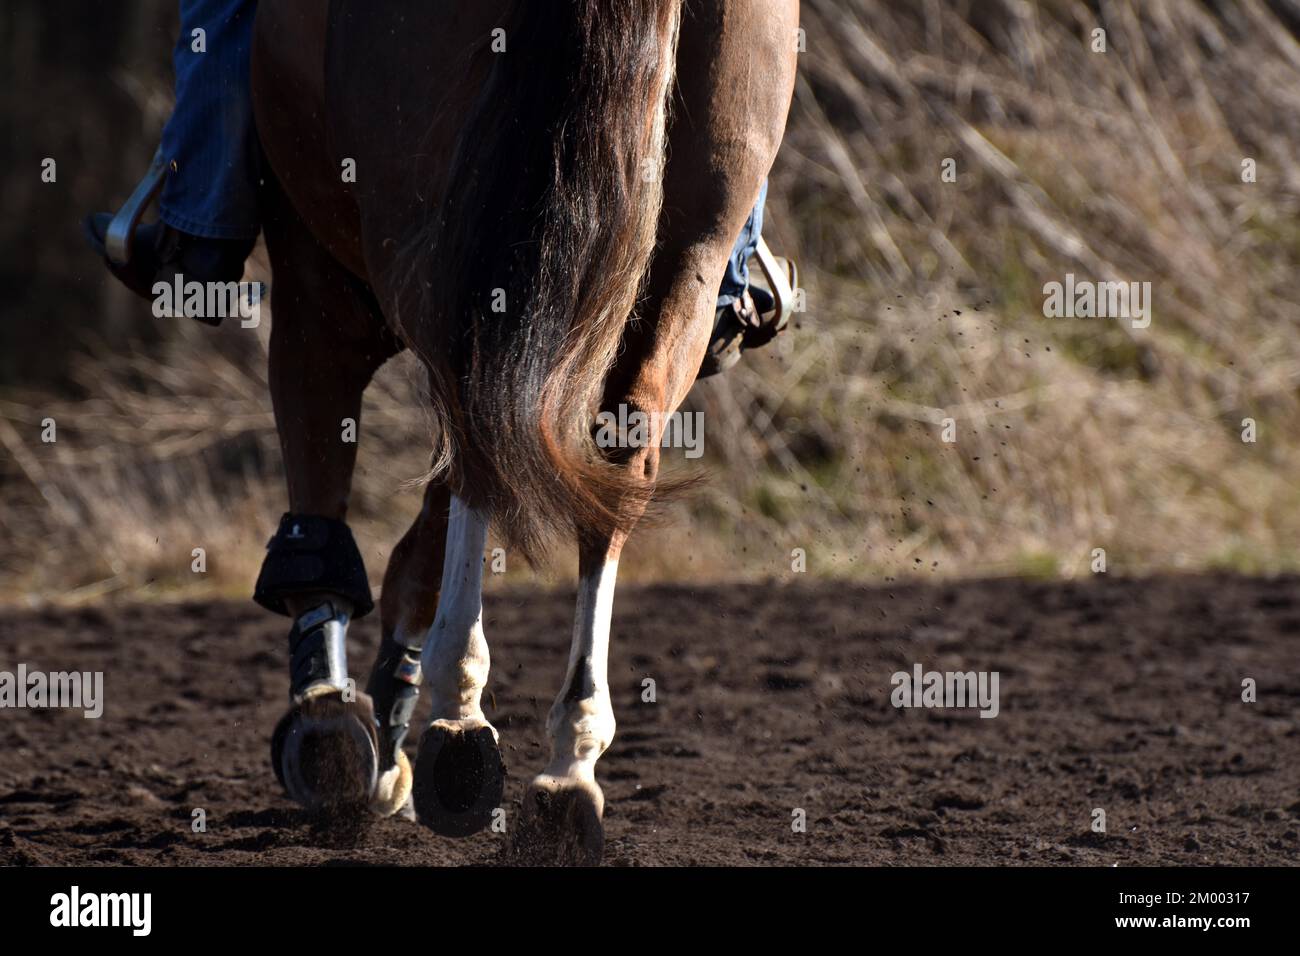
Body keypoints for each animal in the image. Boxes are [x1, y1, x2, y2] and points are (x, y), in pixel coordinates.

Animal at [248, 0, 798, 863]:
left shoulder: (314, 266)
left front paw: (336, 717)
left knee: (475, 424)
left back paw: (453, 721)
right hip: (689, 251)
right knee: (613, 450)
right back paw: (566, 767)